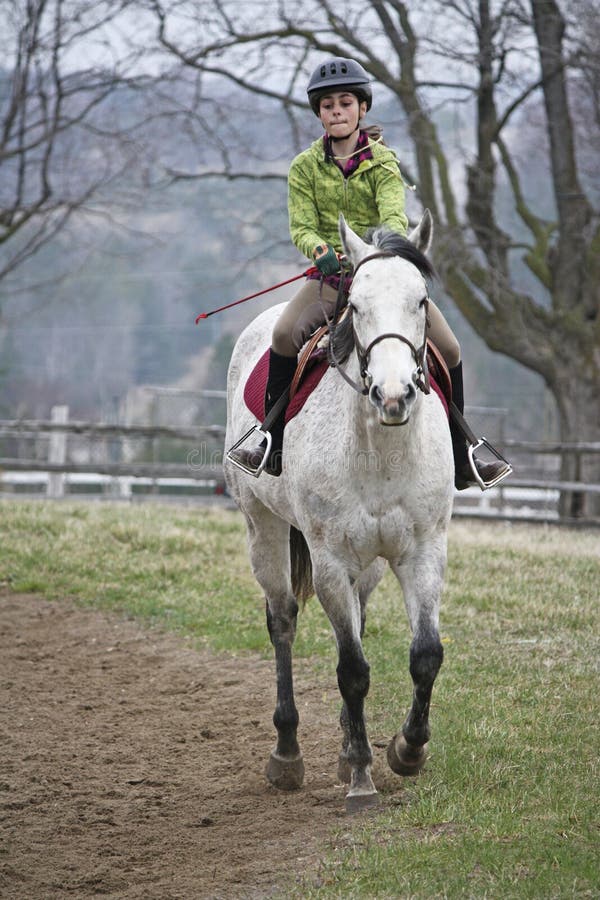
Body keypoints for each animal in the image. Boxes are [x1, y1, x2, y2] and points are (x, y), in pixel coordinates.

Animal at [223, 210, 454, 812]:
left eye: (421, 300)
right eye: (356, 305)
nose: (393, 395)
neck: (382, 450)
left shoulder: (423, 552)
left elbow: (425, 655)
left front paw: (406, 750)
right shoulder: (328, 559)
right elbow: (352, 669)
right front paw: (361, 780)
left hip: (367, 566)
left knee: (357, 620)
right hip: (264, 529)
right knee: (282, 619)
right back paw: (287, 754)